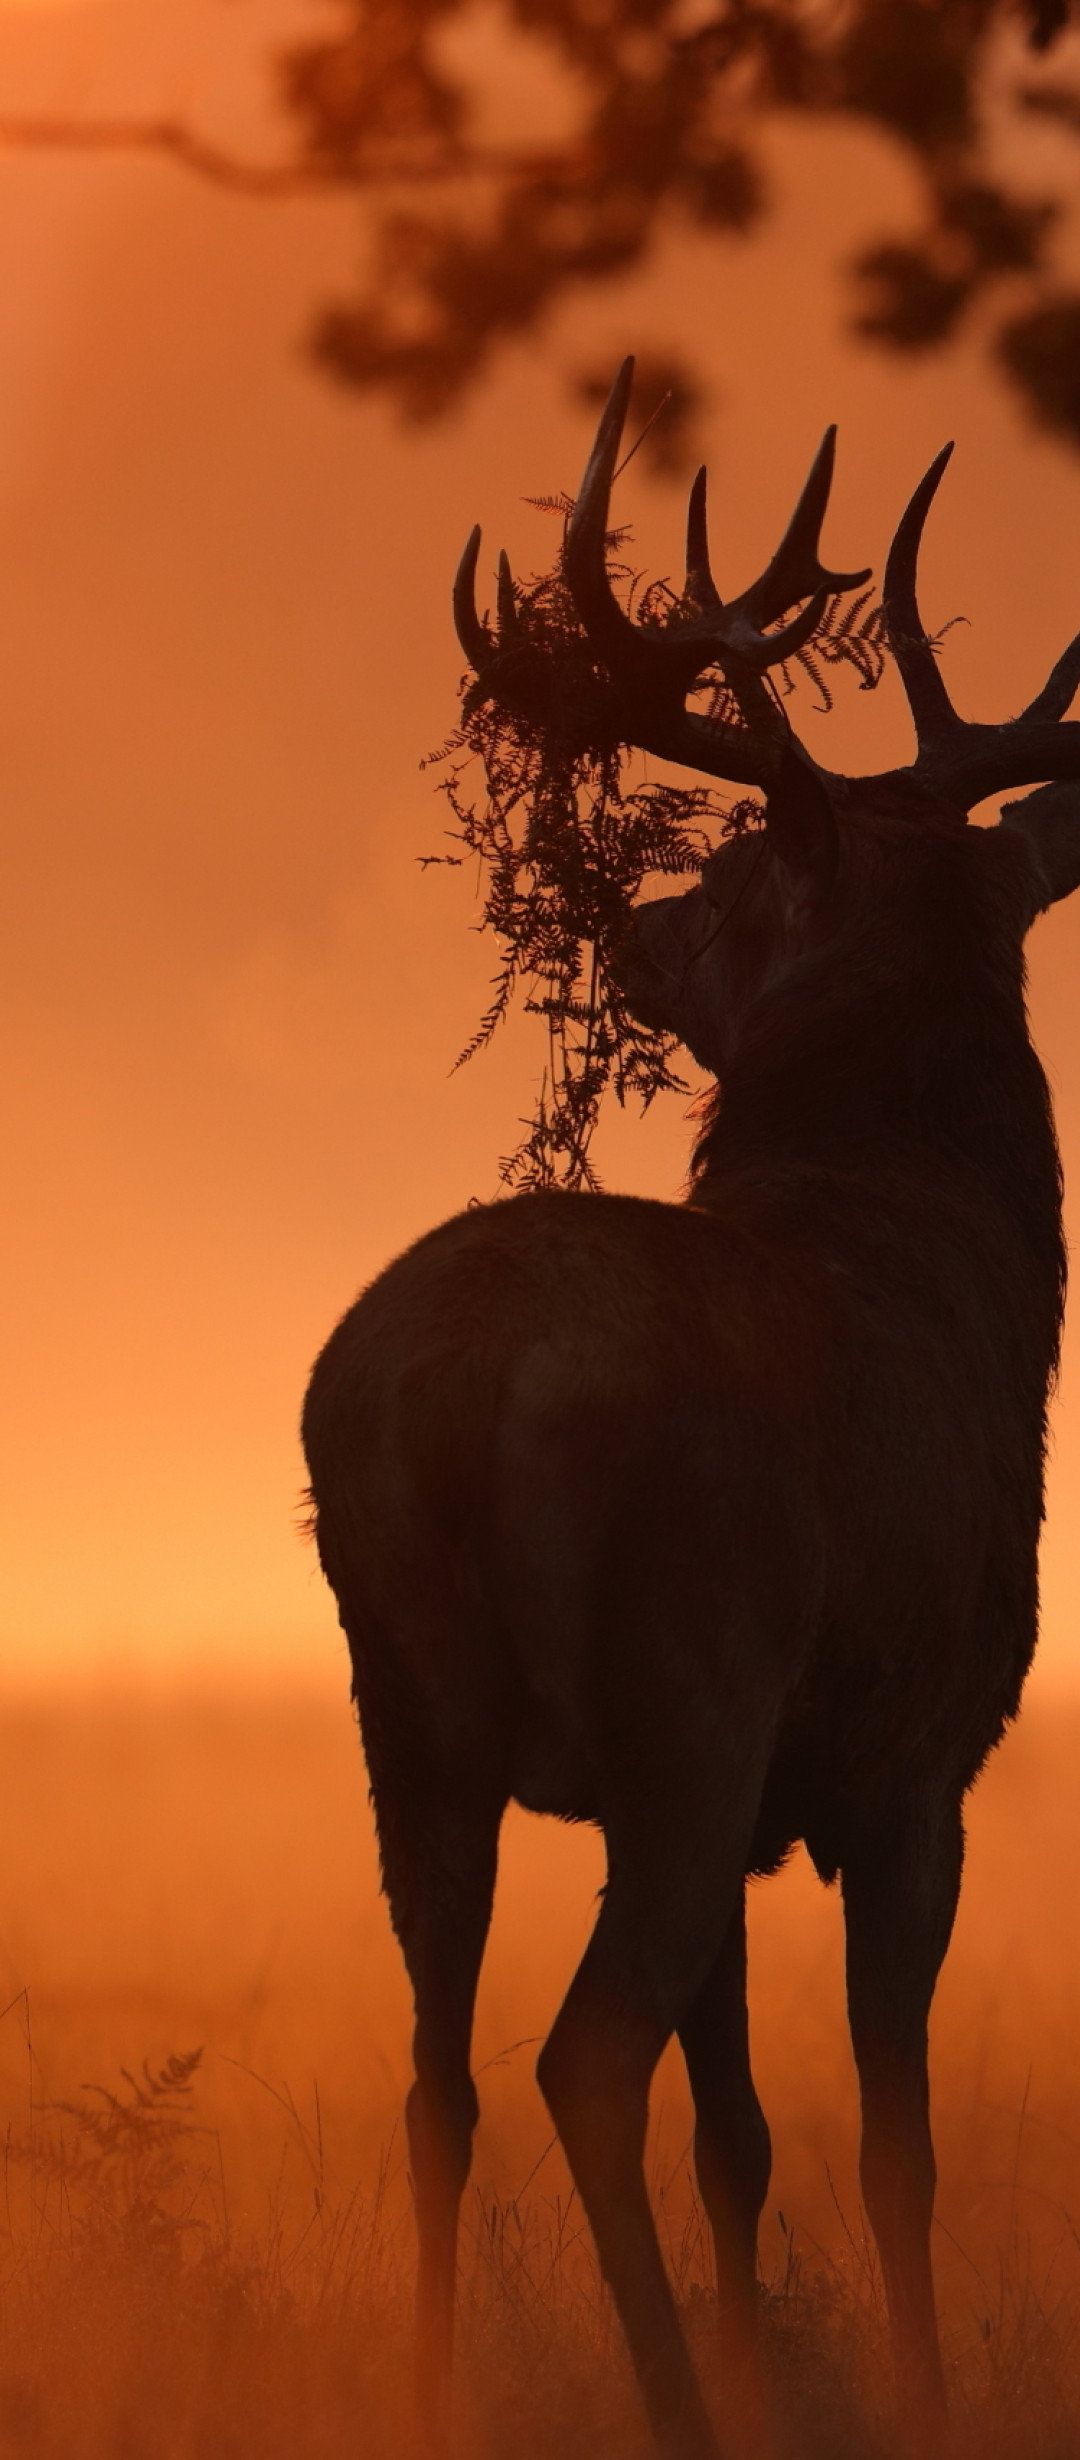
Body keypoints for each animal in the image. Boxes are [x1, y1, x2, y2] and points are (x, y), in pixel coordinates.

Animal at [301, 359, 1080, 2460]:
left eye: (728, 883)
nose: (639, 924)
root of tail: (449, 1394)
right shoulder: (919, 1754)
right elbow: (891, 2145)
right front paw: (905, 2391)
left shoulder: (777, 1804)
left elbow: (742, 2141)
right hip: (689, 1685)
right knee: (580, 2057)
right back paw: (670, 2418)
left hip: (405, 1717)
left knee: (438, 2072)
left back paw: (427, 2400)